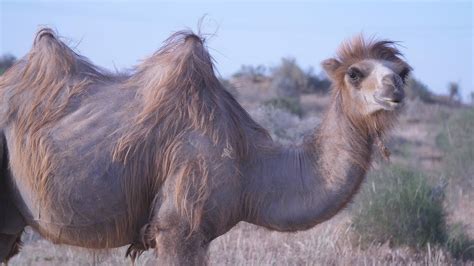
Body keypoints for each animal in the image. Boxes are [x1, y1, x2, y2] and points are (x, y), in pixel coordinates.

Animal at [0, 28, 412, 264]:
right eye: (355, 73)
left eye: (403, 72)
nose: (394, 88)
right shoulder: (177, 228)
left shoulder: (192, 234)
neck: (250, 165)